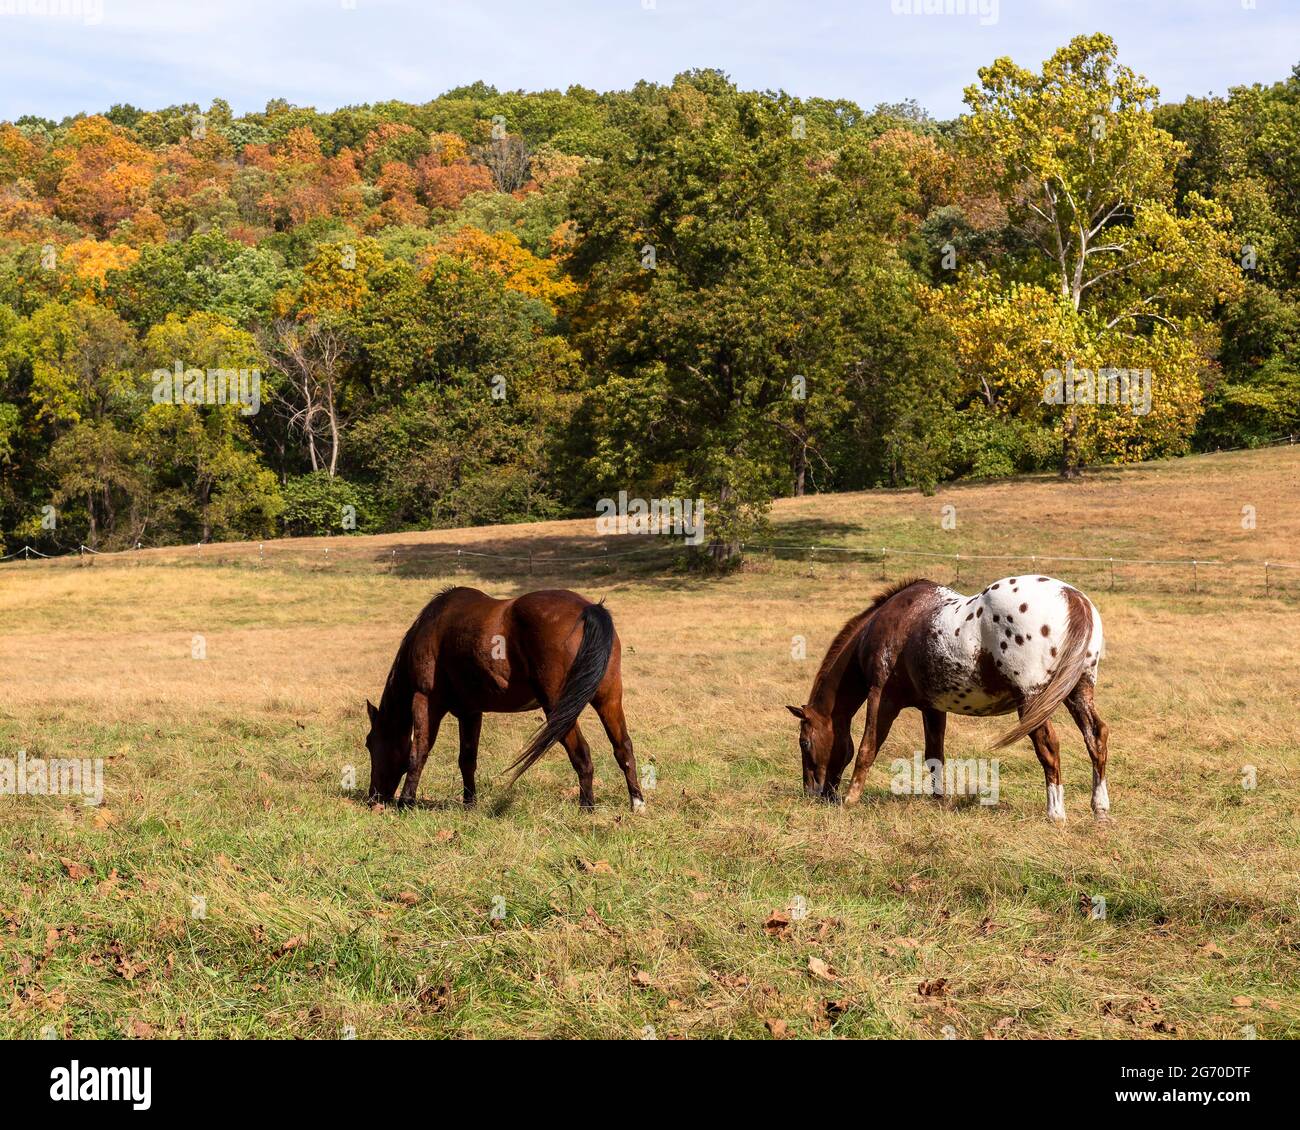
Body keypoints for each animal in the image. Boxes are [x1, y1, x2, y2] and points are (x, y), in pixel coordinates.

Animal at [365, 586, 645, 812]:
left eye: (369, 743)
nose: (373, 799)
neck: (433, 627)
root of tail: (589, 609)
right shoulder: (470, 712)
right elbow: (467, 759)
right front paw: (470, 804)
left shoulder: (425, 700)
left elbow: (419, 750)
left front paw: (406, 802)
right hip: (608, 700)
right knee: (623, 747)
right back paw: (637, 803)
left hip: (559, 709)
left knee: (582, 754)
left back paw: (586, 808)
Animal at [787, 576, 1109, 822]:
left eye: (804, 743)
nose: (813, 794)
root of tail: (1073, 598)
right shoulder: (932, 708)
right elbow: (935, 755)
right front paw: (938, 801)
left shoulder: (881, 697)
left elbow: (867, 747)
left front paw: (851, 799)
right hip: (1078, 691)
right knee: (1096, 737)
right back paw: (1100, 810)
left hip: (1031, 701)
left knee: (1049, 747)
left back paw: (1056, 813)